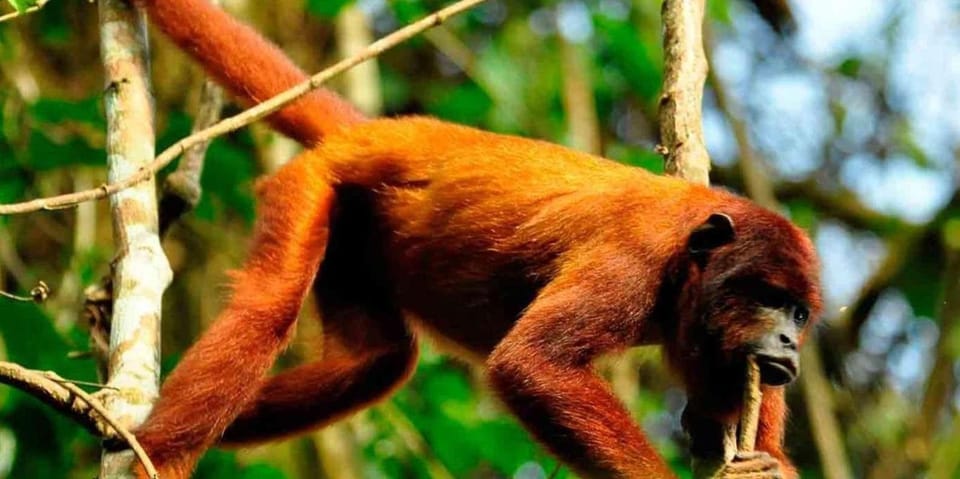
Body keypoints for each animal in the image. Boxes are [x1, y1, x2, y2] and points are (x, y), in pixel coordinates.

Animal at [130, 0, 821, 477]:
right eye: (768, 297)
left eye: (799, 313)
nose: (790, 341)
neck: (691, 251)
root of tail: (379, 131)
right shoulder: (632, 260)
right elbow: (533, 364)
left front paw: (765, 464)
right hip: (312, 184)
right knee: (267, 309)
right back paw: (157, 455)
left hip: (358, 233)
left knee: (373, 362)